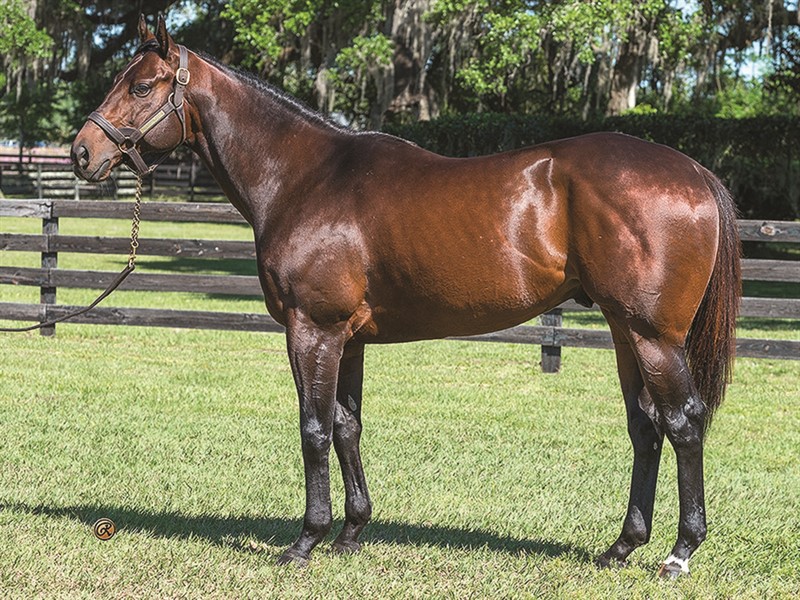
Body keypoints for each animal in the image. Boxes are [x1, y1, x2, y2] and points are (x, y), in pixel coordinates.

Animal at [71, 15, 740, 578]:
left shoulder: (312, 329)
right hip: (626, 334)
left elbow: (313, 428)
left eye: (143, 85)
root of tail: (695, 174)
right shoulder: (348, 339)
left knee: (684, 424)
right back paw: (622, 547)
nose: (83, 152)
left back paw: (680, 553)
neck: (304, 178)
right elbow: (347, 425)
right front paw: (350, 532)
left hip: (654, 337)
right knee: (646, 429)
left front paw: (306, 541)